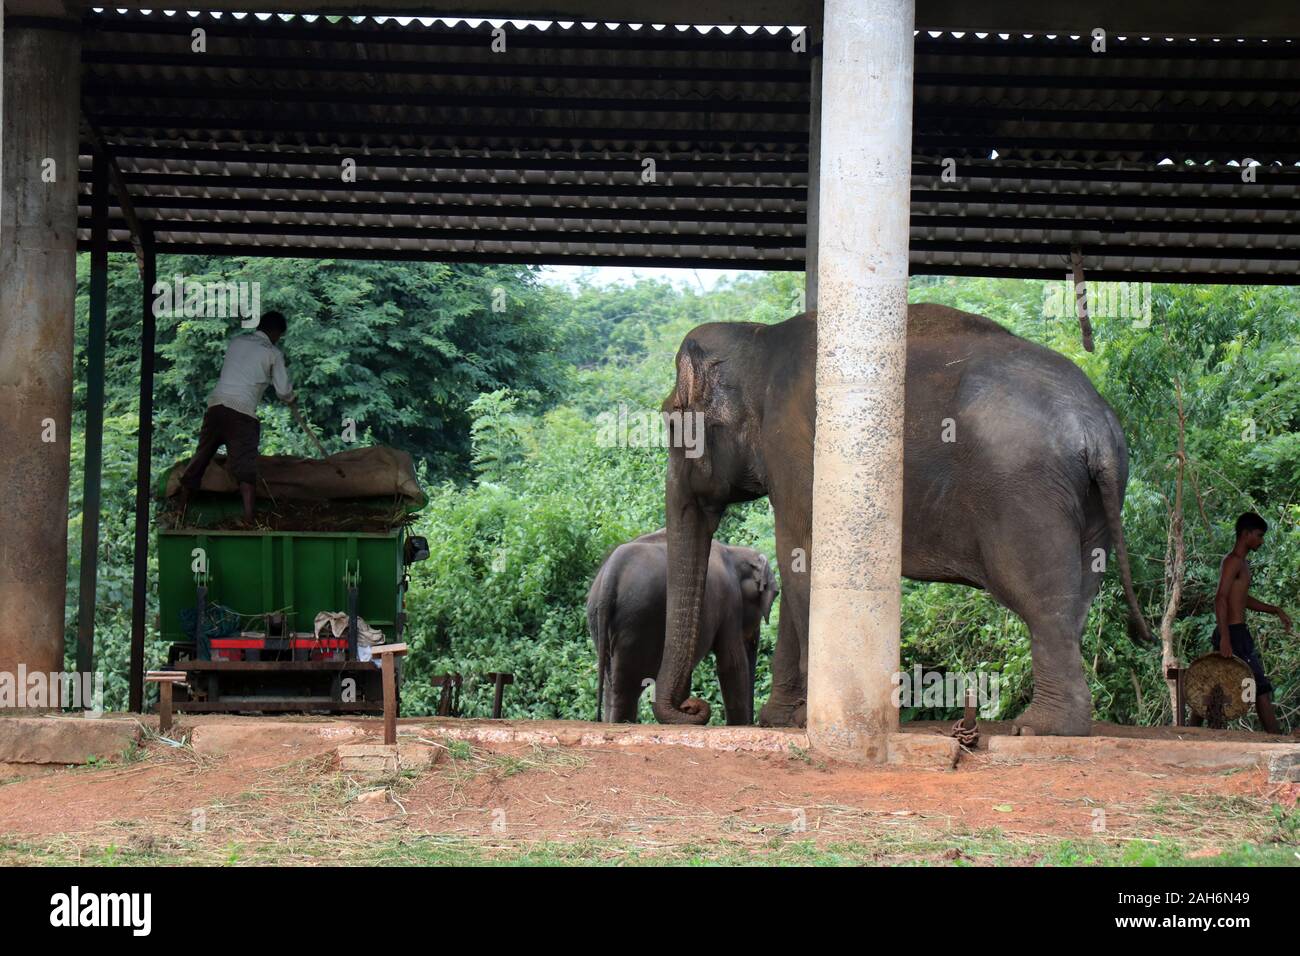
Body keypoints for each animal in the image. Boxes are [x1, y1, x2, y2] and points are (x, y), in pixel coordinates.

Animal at [587, 529, 778, 724]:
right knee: (627, 686)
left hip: (600, 619)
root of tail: (612, 572)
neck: (733, 551)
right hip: (637, 618)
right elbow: (731, 663)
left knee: (611, 684)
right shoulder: (730, 601)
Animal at [653, 304, 1151, 736]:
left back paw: (1038, 728)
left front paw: (800, 721)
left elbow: (799, 558)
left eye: (671, 421)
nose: (693, 709)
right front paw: (780, 721)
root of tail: (1095, 423)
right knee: (1078, 600)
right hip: (1095, 501)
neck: (759, 338)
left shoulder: (795, 451)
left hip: (1027, 494)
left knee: (1042, 602)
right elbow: (797, 566)